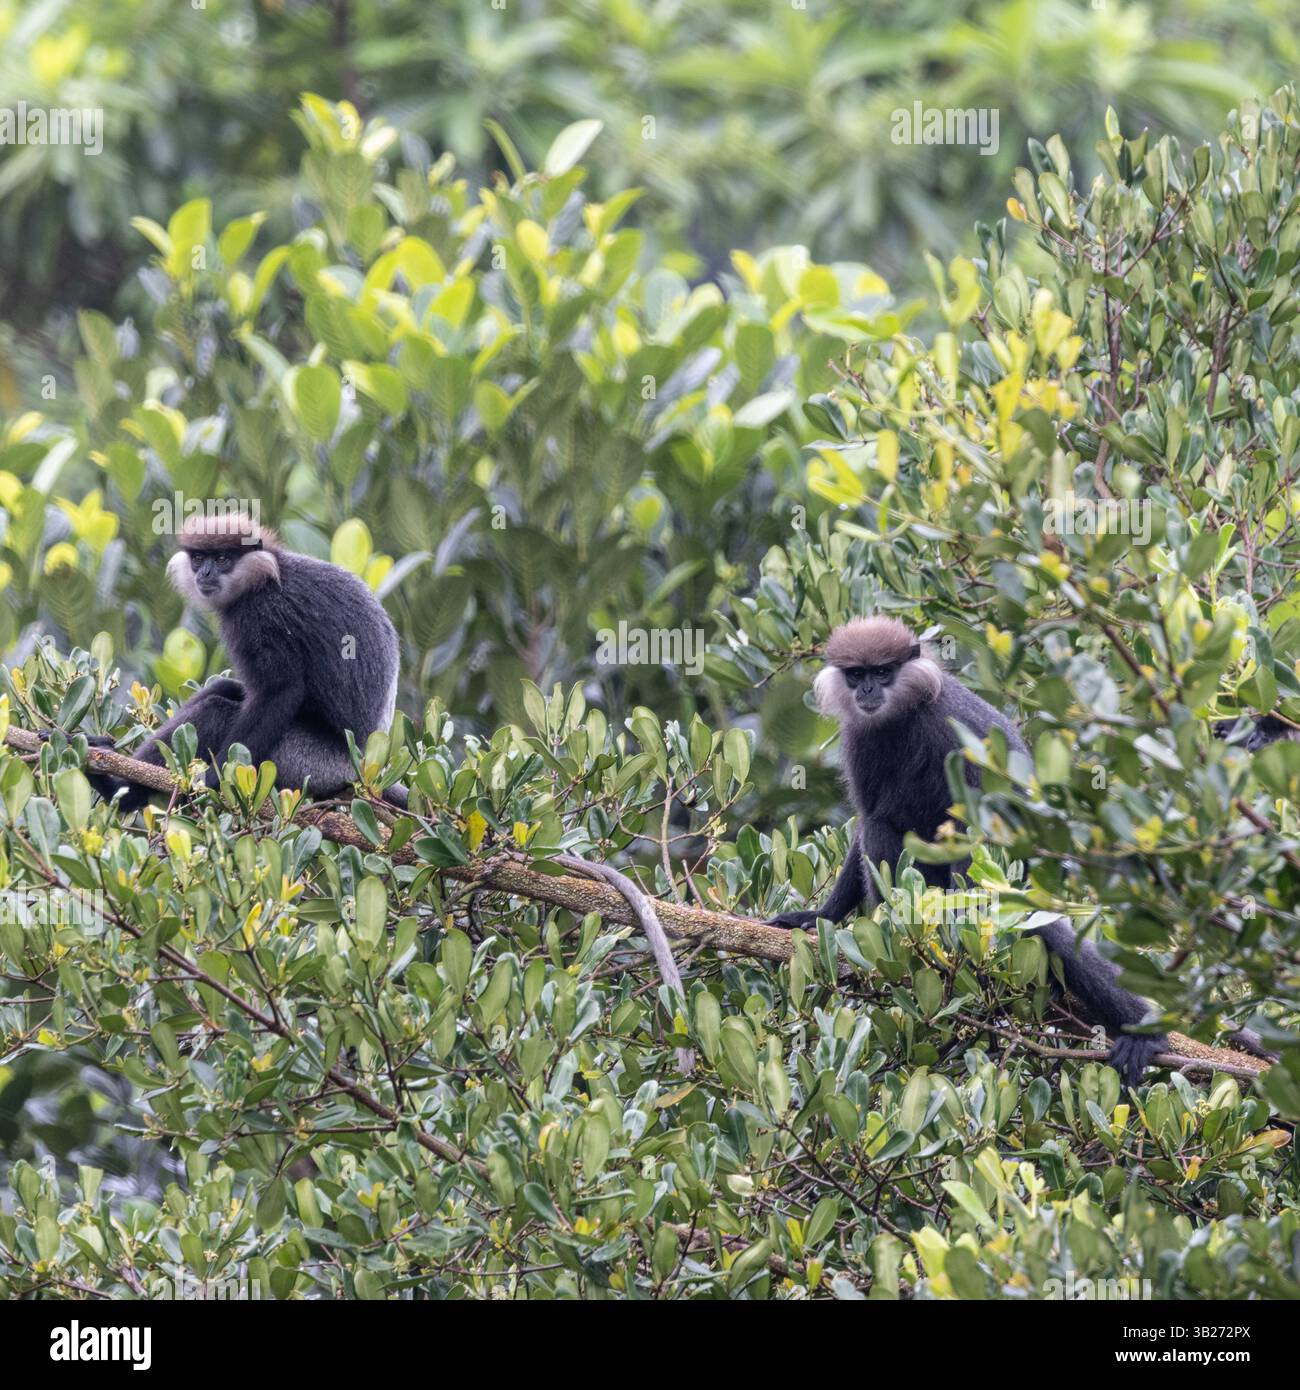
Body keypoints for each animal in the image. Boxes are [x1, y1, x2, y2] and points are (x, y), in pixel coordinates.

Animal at [86, 511, 408, 814]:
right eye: (199, 558)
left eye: (222, 559)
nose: (205, 572)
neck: (265, 576)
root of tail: (362, 765)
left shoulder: (262, 616)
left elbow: (280, 691)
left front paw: (215, 783)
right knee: (223, 690)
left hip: (307, 761)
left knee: (217, 711)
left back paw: (120, 790)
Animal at [767, 615, 1168, 1086]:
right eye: (856, 674)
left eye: (882, 672)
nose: (866, 690)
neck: (901, 717)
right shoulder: (859, 738)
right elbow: (867, 819)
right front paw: (820, 916)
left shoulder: (952, 731)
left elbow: (974, 832)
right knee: (880, 827)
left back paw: (1146, 1034)